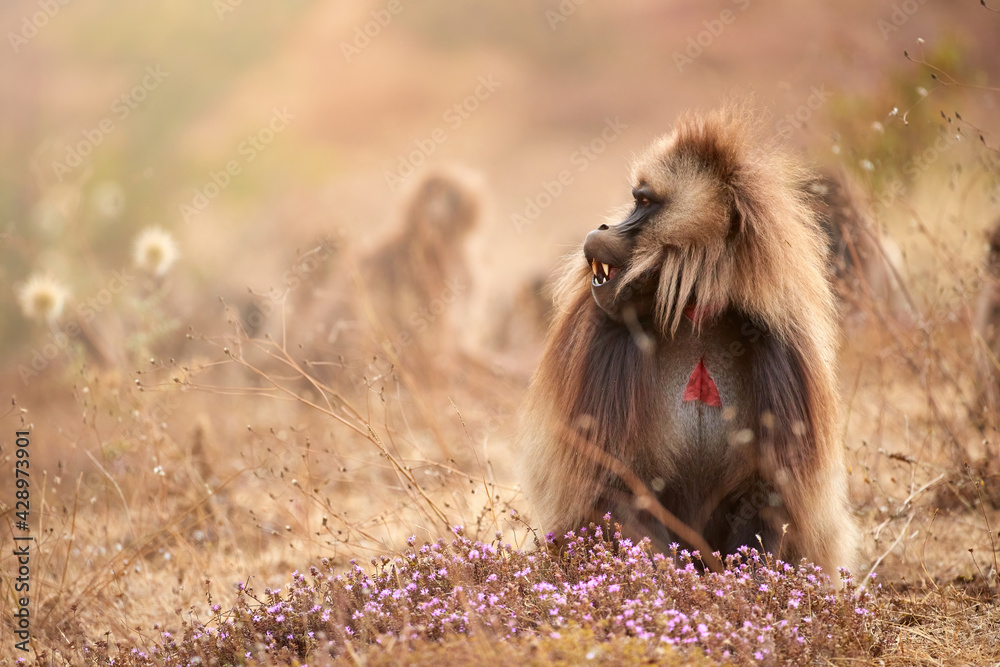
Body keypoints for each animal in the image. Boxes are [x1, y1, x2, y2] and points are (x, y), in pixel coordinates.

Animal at [517, 103, 858, 585]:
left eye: (644, 202)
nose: (602, 227)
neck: (695, 311)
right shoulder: (604, 336)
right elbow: (614, 488)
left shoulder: (781, 345)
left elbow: (772, 490)